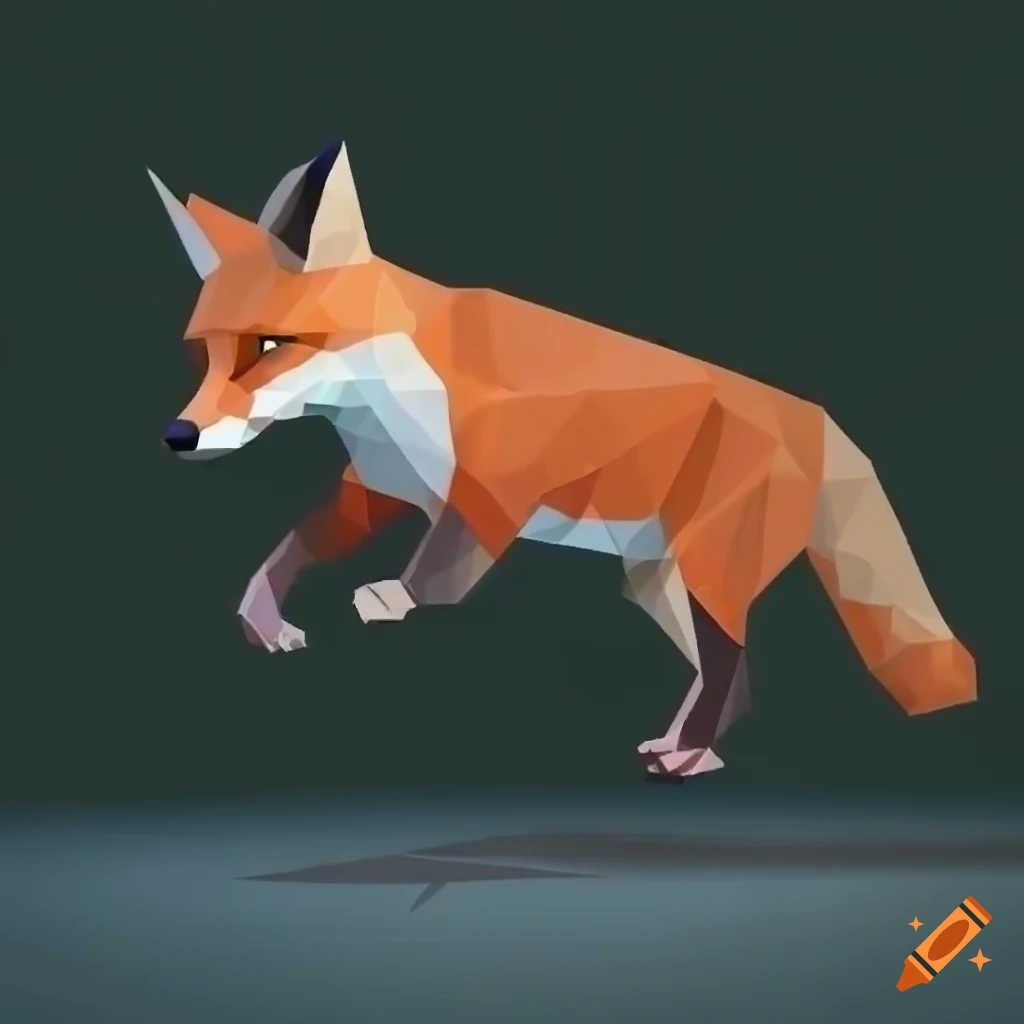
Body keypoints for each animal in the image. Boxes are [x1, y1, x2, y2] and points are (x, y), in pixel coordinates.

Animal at [149, 140, 977, 778]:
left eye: (267, 346)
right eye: (204, 353)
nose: (179, 435)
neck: (395, 392)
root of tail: (812, 415)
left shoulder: (496, 495)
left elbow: (442, 574)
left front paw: (394, 596)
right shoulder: (383, 485)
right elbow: (295, 547)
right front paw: (264, 614)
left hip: (706, 571)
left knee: (730, 663)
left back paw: (689, 754)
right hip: (657, 583)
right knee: (735, 679)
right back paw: (689, 748)